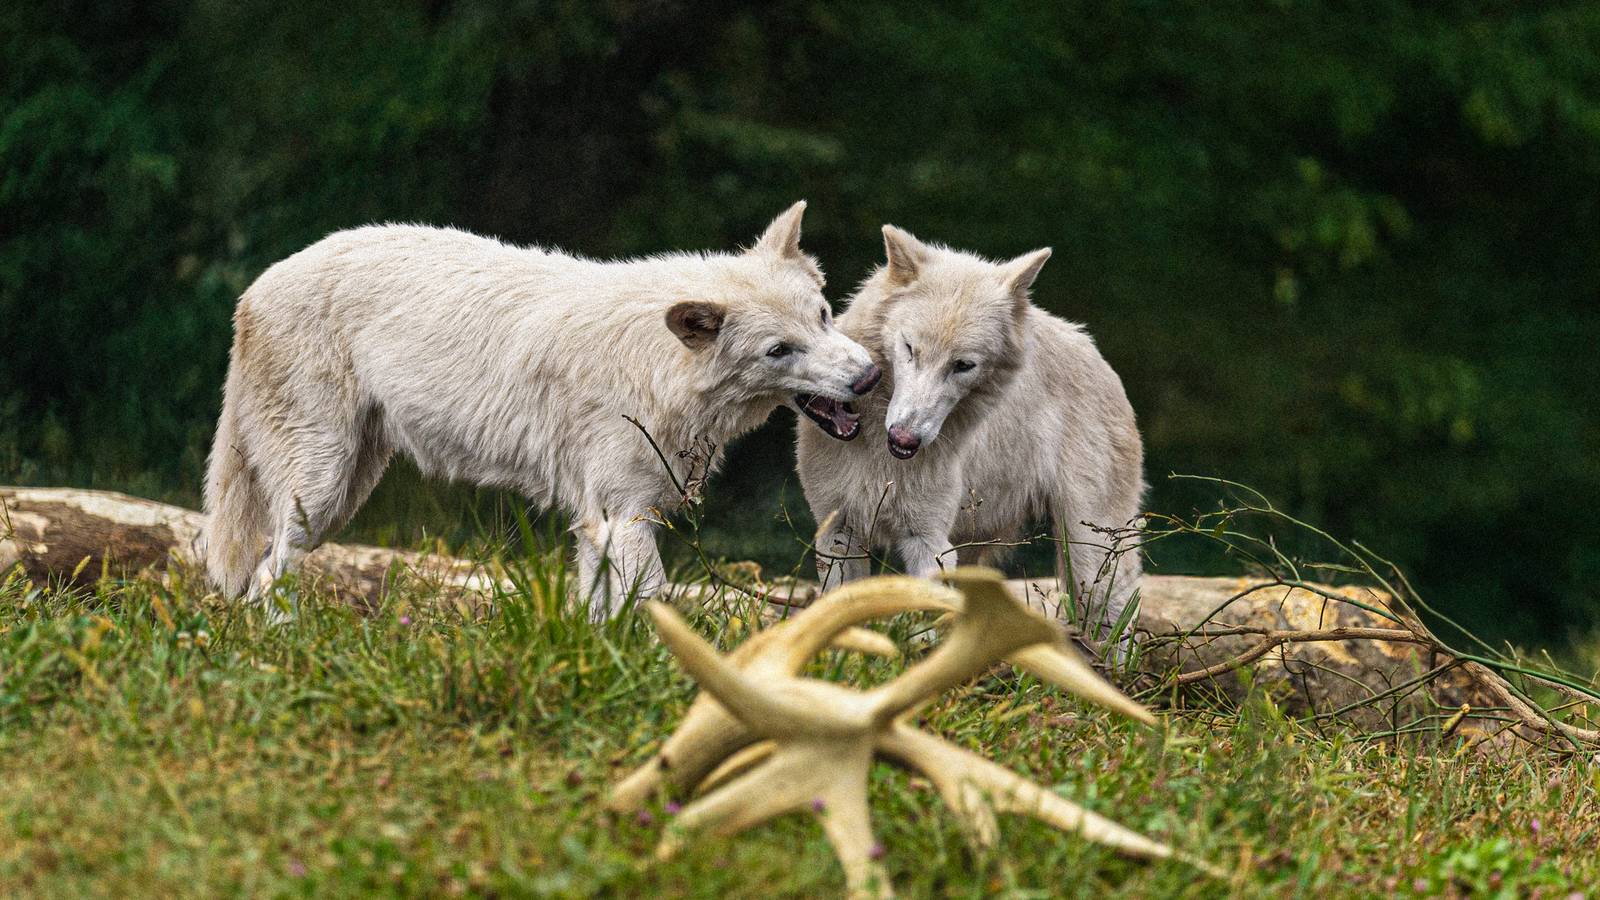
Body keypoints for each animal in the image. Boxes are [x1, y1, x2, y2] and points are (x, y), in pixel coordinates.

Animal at [203, 202, 880, 618]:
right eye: (779, 350)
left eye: (824, 316)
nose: (870, 376)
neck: (658, 367)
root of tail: (254, 289)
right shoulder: (622, 519)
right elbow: (655, 607)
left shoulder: (601, 525)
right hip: (319, 491)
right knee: (266, 577)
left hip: (344, 495)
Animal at [795, 225, 1145, 645]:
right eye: (910, 348)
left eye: (963, 365)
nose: (904, 439)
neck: (879, 451)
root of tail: (1097, 353)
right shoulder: (838, 531)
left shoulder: (926, 540)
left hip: (1089, 553)